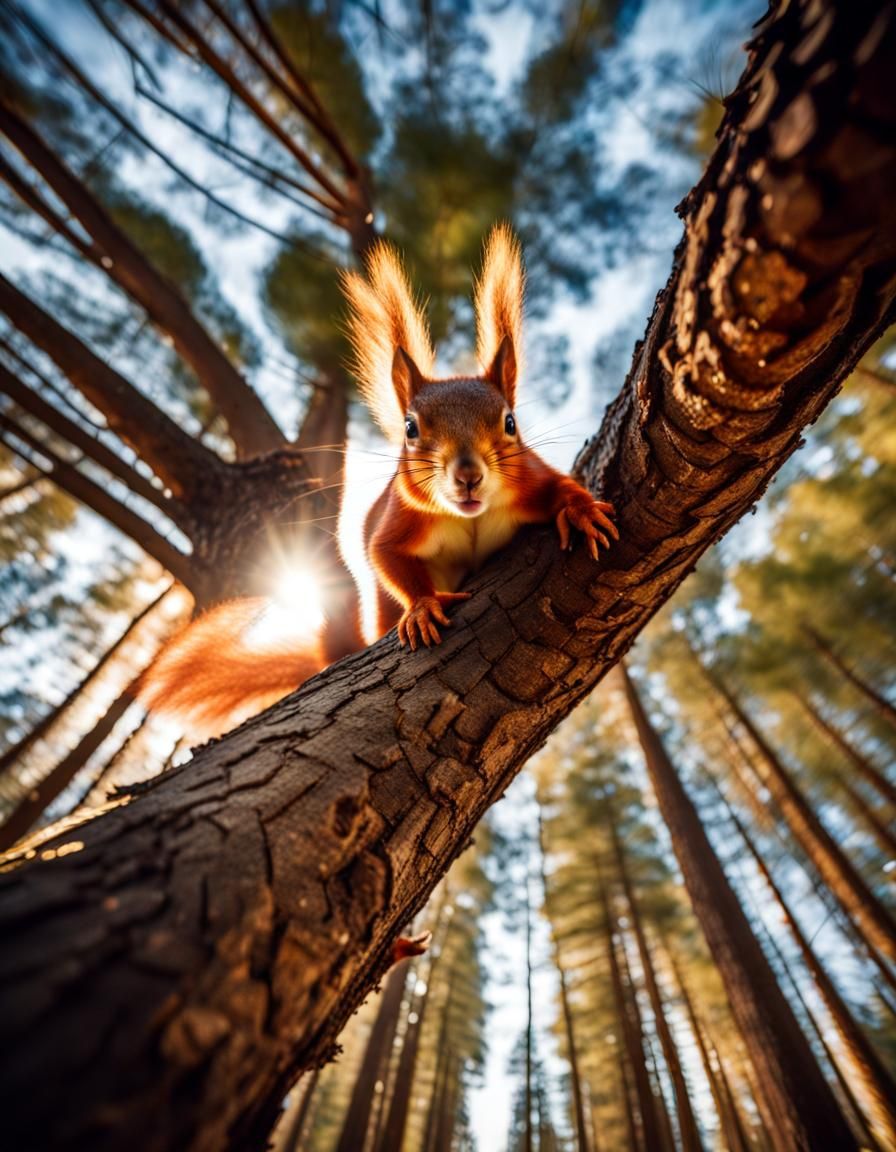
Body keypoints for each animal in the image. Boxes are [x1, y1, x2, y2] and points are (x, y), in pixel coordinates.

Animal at [139, 224, 617, 734]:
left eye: (510, 423)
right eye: (410, 429)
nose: (469, 475)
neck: (468, 517)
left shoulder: (528, 481)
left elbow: (560, 488)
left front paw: (582, 511)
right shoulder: (401, 518)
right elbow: (383, 555)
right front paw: (422, 606)